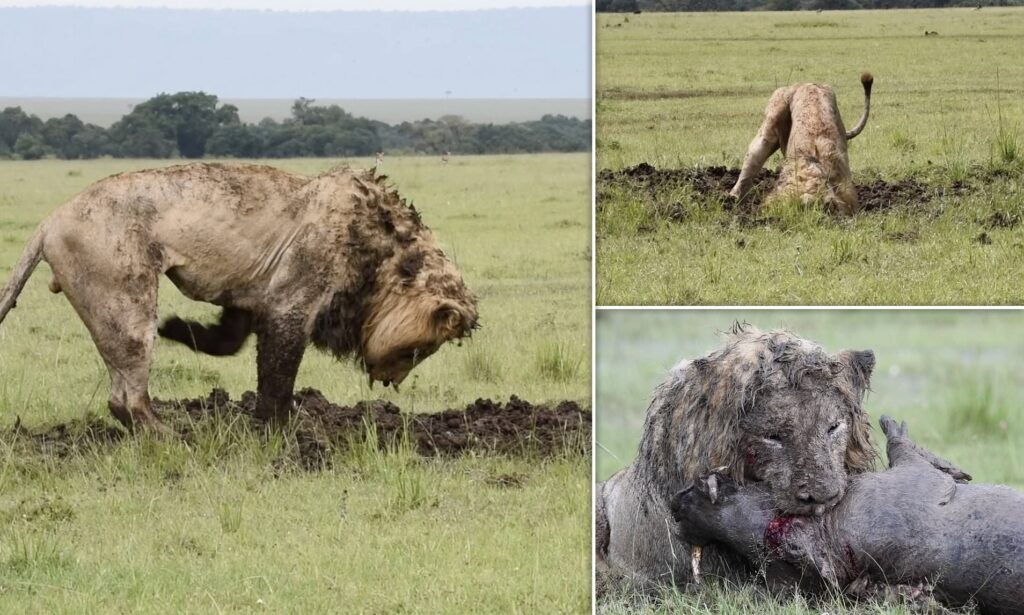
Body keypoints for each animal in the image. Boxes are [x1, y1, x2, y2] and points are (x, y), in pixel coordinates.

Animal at [0, 163, 478, 430]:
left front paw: (178, 328)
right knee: (125, 399)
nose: (390, 381)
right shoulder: (291, 300)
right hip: (125, 303)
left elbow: (228, 343)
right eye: (418, 351)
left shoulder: (250, 298)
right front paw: (277, 431)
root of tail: (48, 221)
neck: (385, 250)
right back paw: (173, 438)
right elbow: (278, 374)